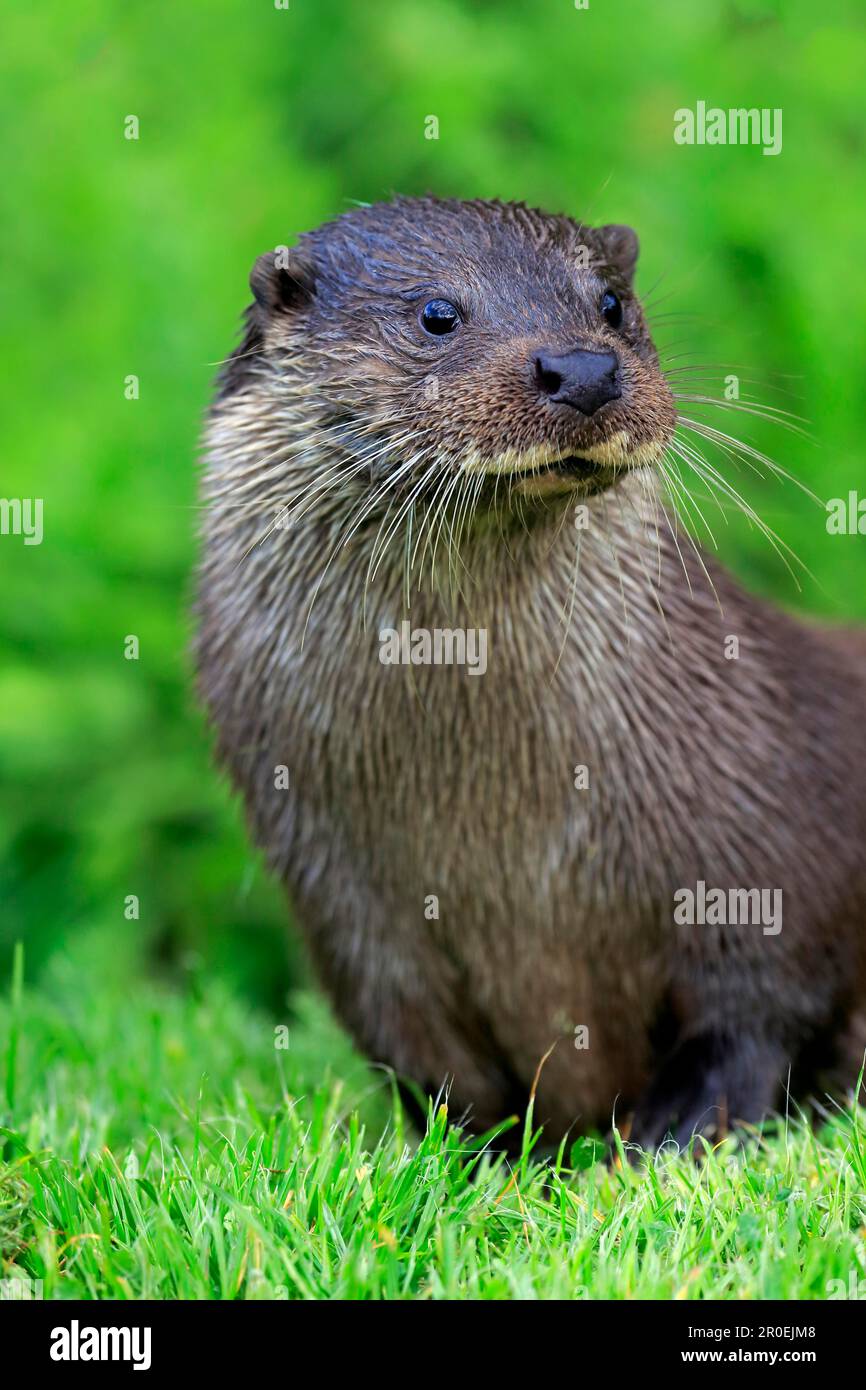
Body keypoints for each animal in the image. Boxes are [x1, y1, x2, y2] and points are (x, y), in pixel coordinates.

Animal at [196, 197, 866, 1149]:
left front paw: (664, 1135)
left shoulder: (768, 850)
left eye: (612, 303)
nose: (582, 367)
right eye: (437, 314)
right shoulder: (352, 915)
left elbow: (758, 1014)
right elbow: (437, 1074)